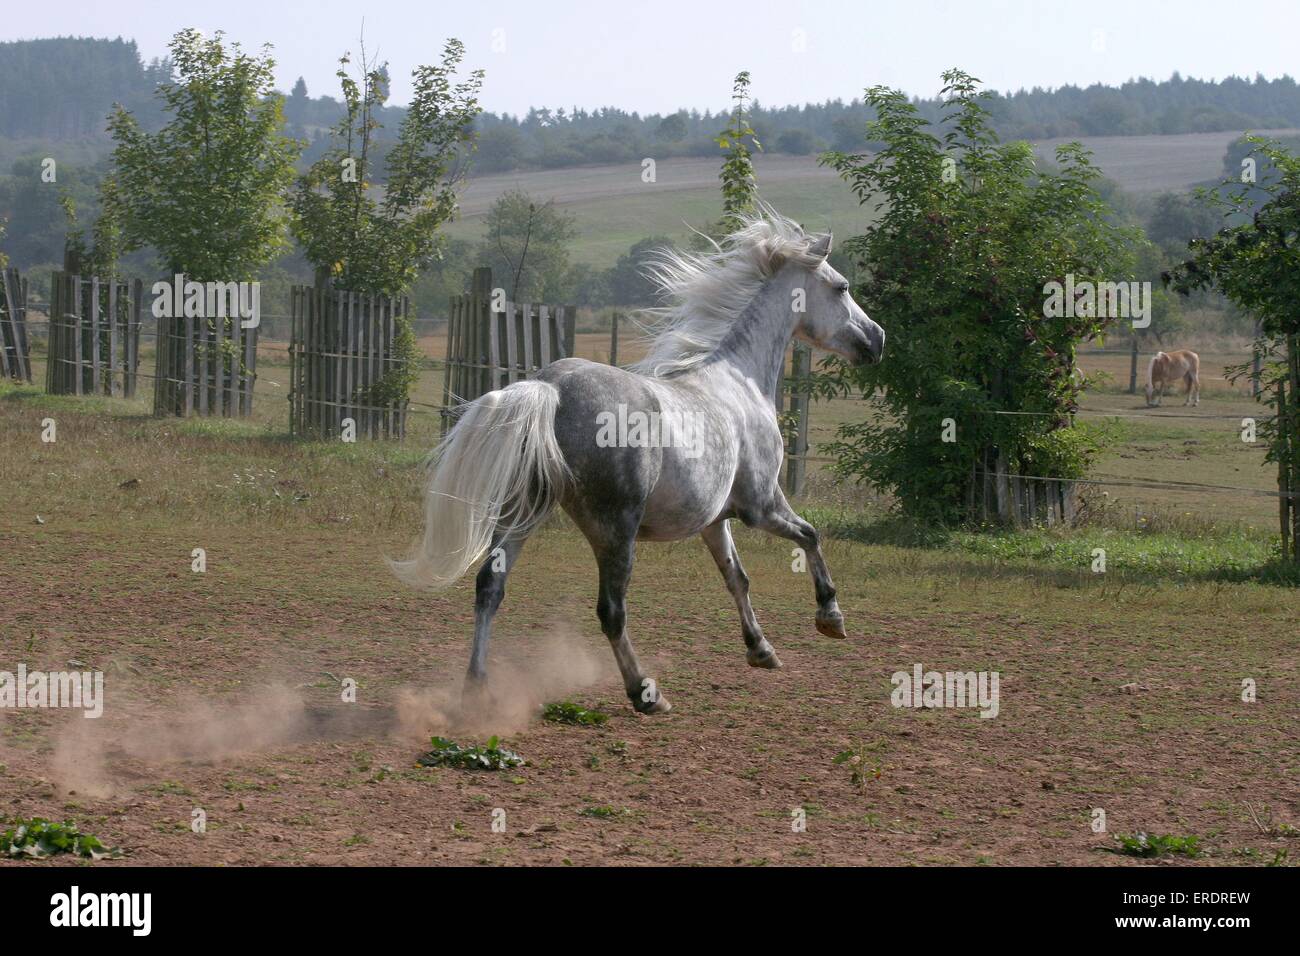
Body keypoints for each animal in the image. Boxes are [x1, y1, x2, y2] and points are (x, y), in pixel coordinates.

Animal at [392, 209, 885, 714]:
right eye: (842, 287)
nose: (877, 339)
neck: (740, 380)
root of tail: (550, 387)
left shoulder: (715, 521)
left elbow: (737, 578)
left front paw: (761, 649)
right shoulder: (761, 505)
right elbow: (810, 536)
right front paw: (831, 617)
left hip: (523, 514)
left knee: (490, 588)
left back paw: (477, 688)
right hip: (615, 531)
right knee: (611, 611)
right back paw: (646, 693)